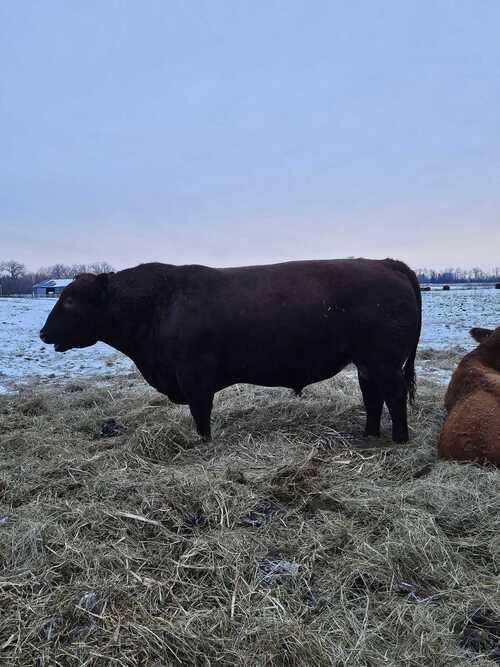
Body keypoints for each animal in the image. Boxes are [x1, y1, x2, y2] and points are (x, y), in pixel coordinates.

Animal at [39, 258, 421, 443]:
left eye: (70, 300)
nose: (43, 333)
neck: (158, 304)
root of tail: (383, 262)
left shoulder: (195, 378)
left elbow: (201, 416)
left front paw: (203, 444)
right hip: (367, 362)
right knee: (372, 396)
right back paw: (369, 434)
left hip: (385, 361)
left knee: (394, 396)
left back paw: (399, 439)